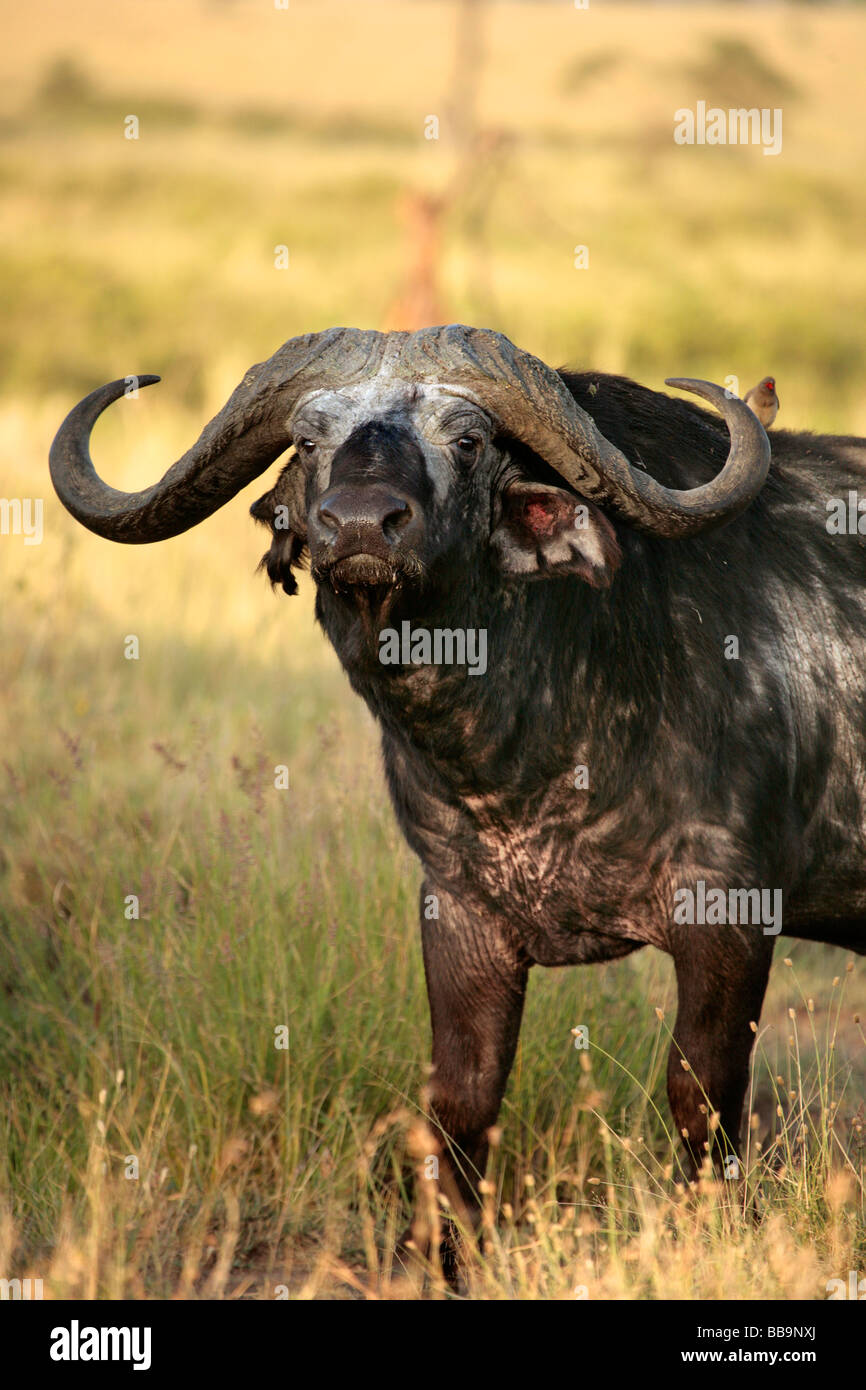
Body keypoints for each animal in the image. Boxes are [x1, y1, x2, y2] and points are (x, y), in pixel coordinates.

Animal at [50, 325, 866, 1272]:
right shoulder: (459, 914)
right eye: (307, 440)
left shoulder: (730, 917)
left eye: (467, 441)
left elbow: (702, 1096)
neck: (529, 753)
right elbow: (462, 1102)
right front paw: (444, 1252)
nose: (360, 526)